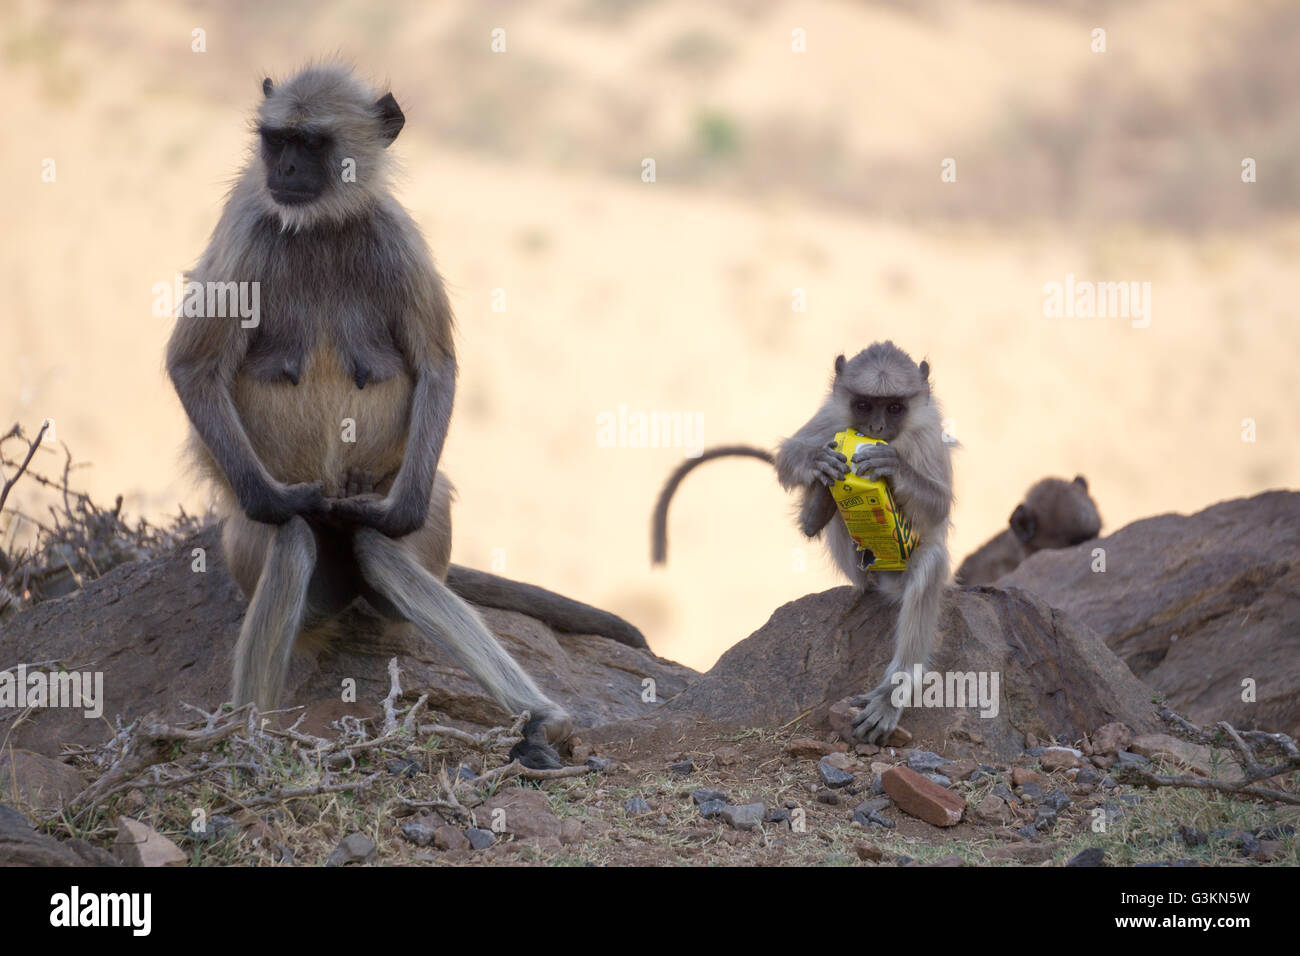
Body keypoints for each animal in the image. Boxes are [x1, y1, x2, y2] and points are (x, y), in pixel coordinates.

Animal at [166, 64, 633, 769]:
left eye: (312, 143)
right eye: (277, 141)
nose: (286, 170)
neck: (324, 225)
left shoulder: (397, 235)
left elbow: (437, 363)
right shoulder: (246, 228)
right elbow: (190, 366)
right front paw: (279, 500)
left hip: (411, 553)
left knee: (376, 543)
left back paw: (543, 722)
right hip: (260, 564)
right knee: (295, 538)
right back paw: (247, 740)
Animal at [650, 342, 953, 743]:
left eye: (893, 408)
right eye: (863, 405)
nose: (875, 429)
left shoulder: (928, 430)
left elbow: (939, 506)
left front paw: (894, 466)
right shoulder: (832, 416)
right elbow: (789, 455)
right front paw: (818, 461)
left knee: (930, 560)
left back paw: (894, 691)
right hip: (859, 570)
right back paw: (818, 509)